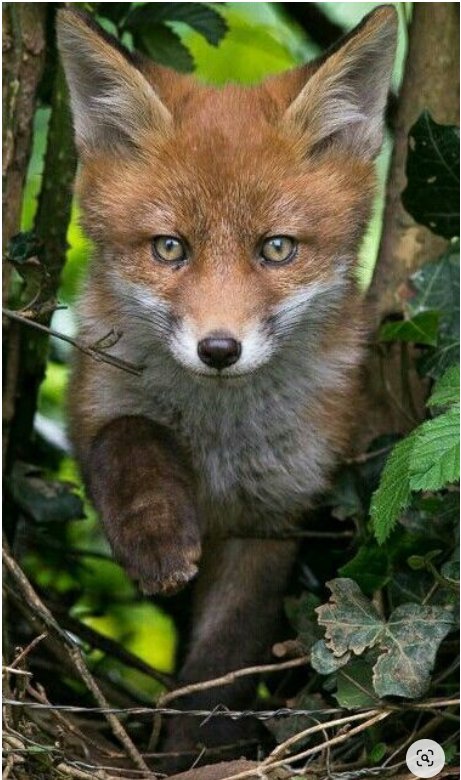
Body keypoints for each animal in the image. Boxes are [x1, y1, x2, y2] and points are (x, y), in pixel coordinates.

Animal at [57, 4, 397, 762]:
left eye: (276, 248)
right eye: (169, 248)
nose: (218, 350)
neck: (218, 439)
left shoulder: (272, 517)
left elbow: (223, 659)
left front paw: (197, 752)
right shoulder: (92, 401)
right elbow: (124, 434)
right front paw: (155, 530)